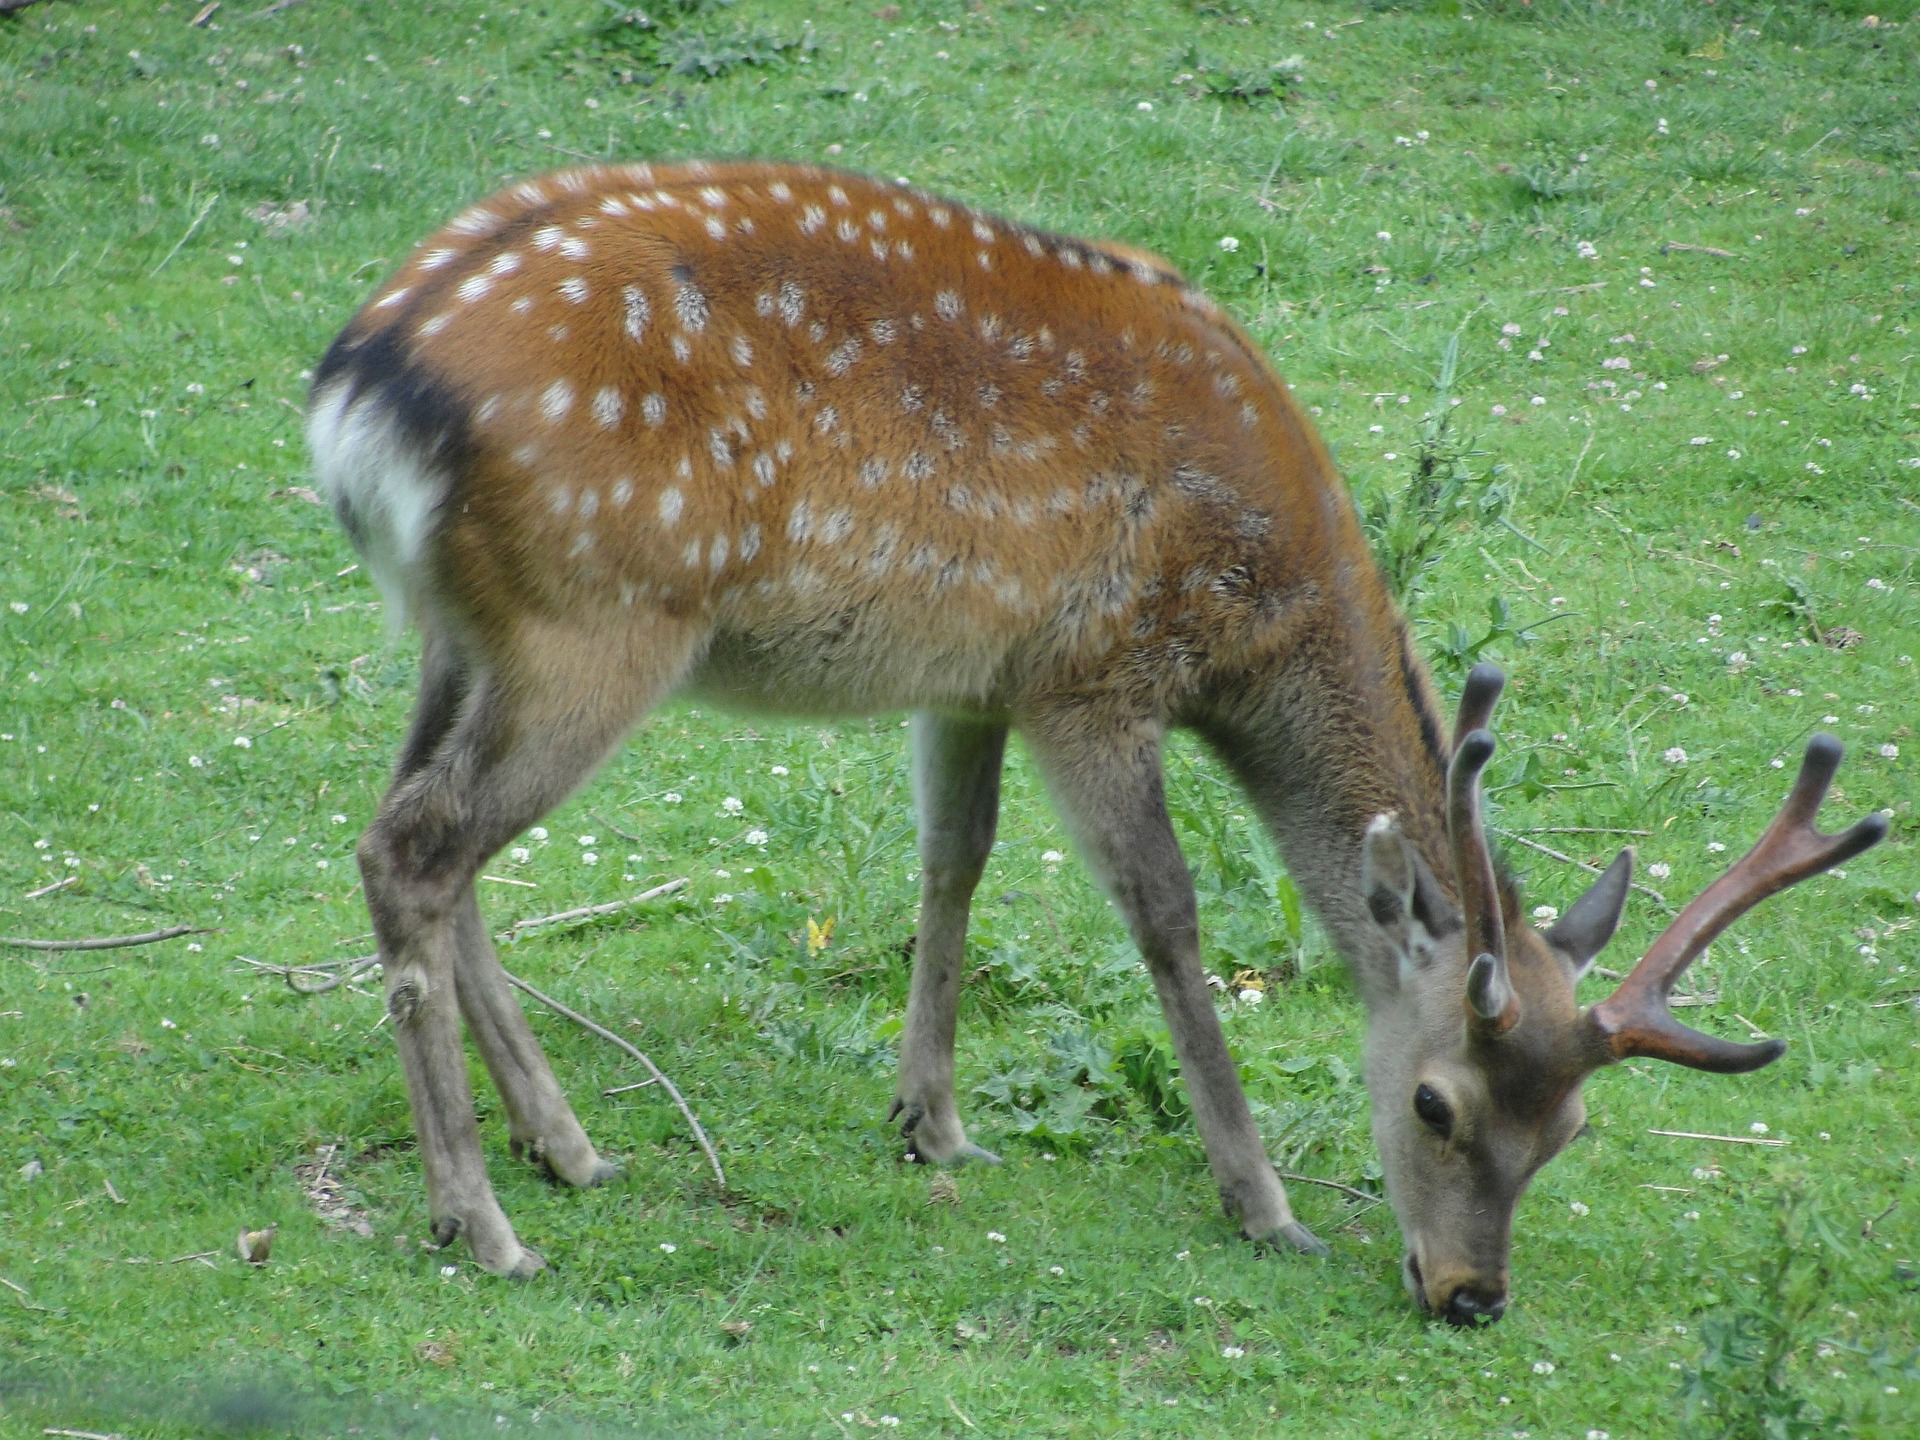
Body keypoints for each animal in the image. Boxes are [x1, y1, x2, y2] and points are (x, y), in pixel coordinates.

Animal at [307, 160, 1887, 1322]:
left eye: (1567, 1136)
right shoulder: (1094, 671)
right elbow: (1167, 917)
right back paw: (479, 1218)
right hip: (599, 617)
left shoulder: (979, 673)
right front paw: (1264, 1205)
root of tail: (358, 395)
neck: (1262, 607)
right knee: (416, 848)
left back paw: (565, 1144)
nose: (1470, 1296)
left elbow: (953, 863)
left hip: (471, 632)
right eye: (1435, 1105)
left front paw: (930, 1122)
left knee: (420, 840)